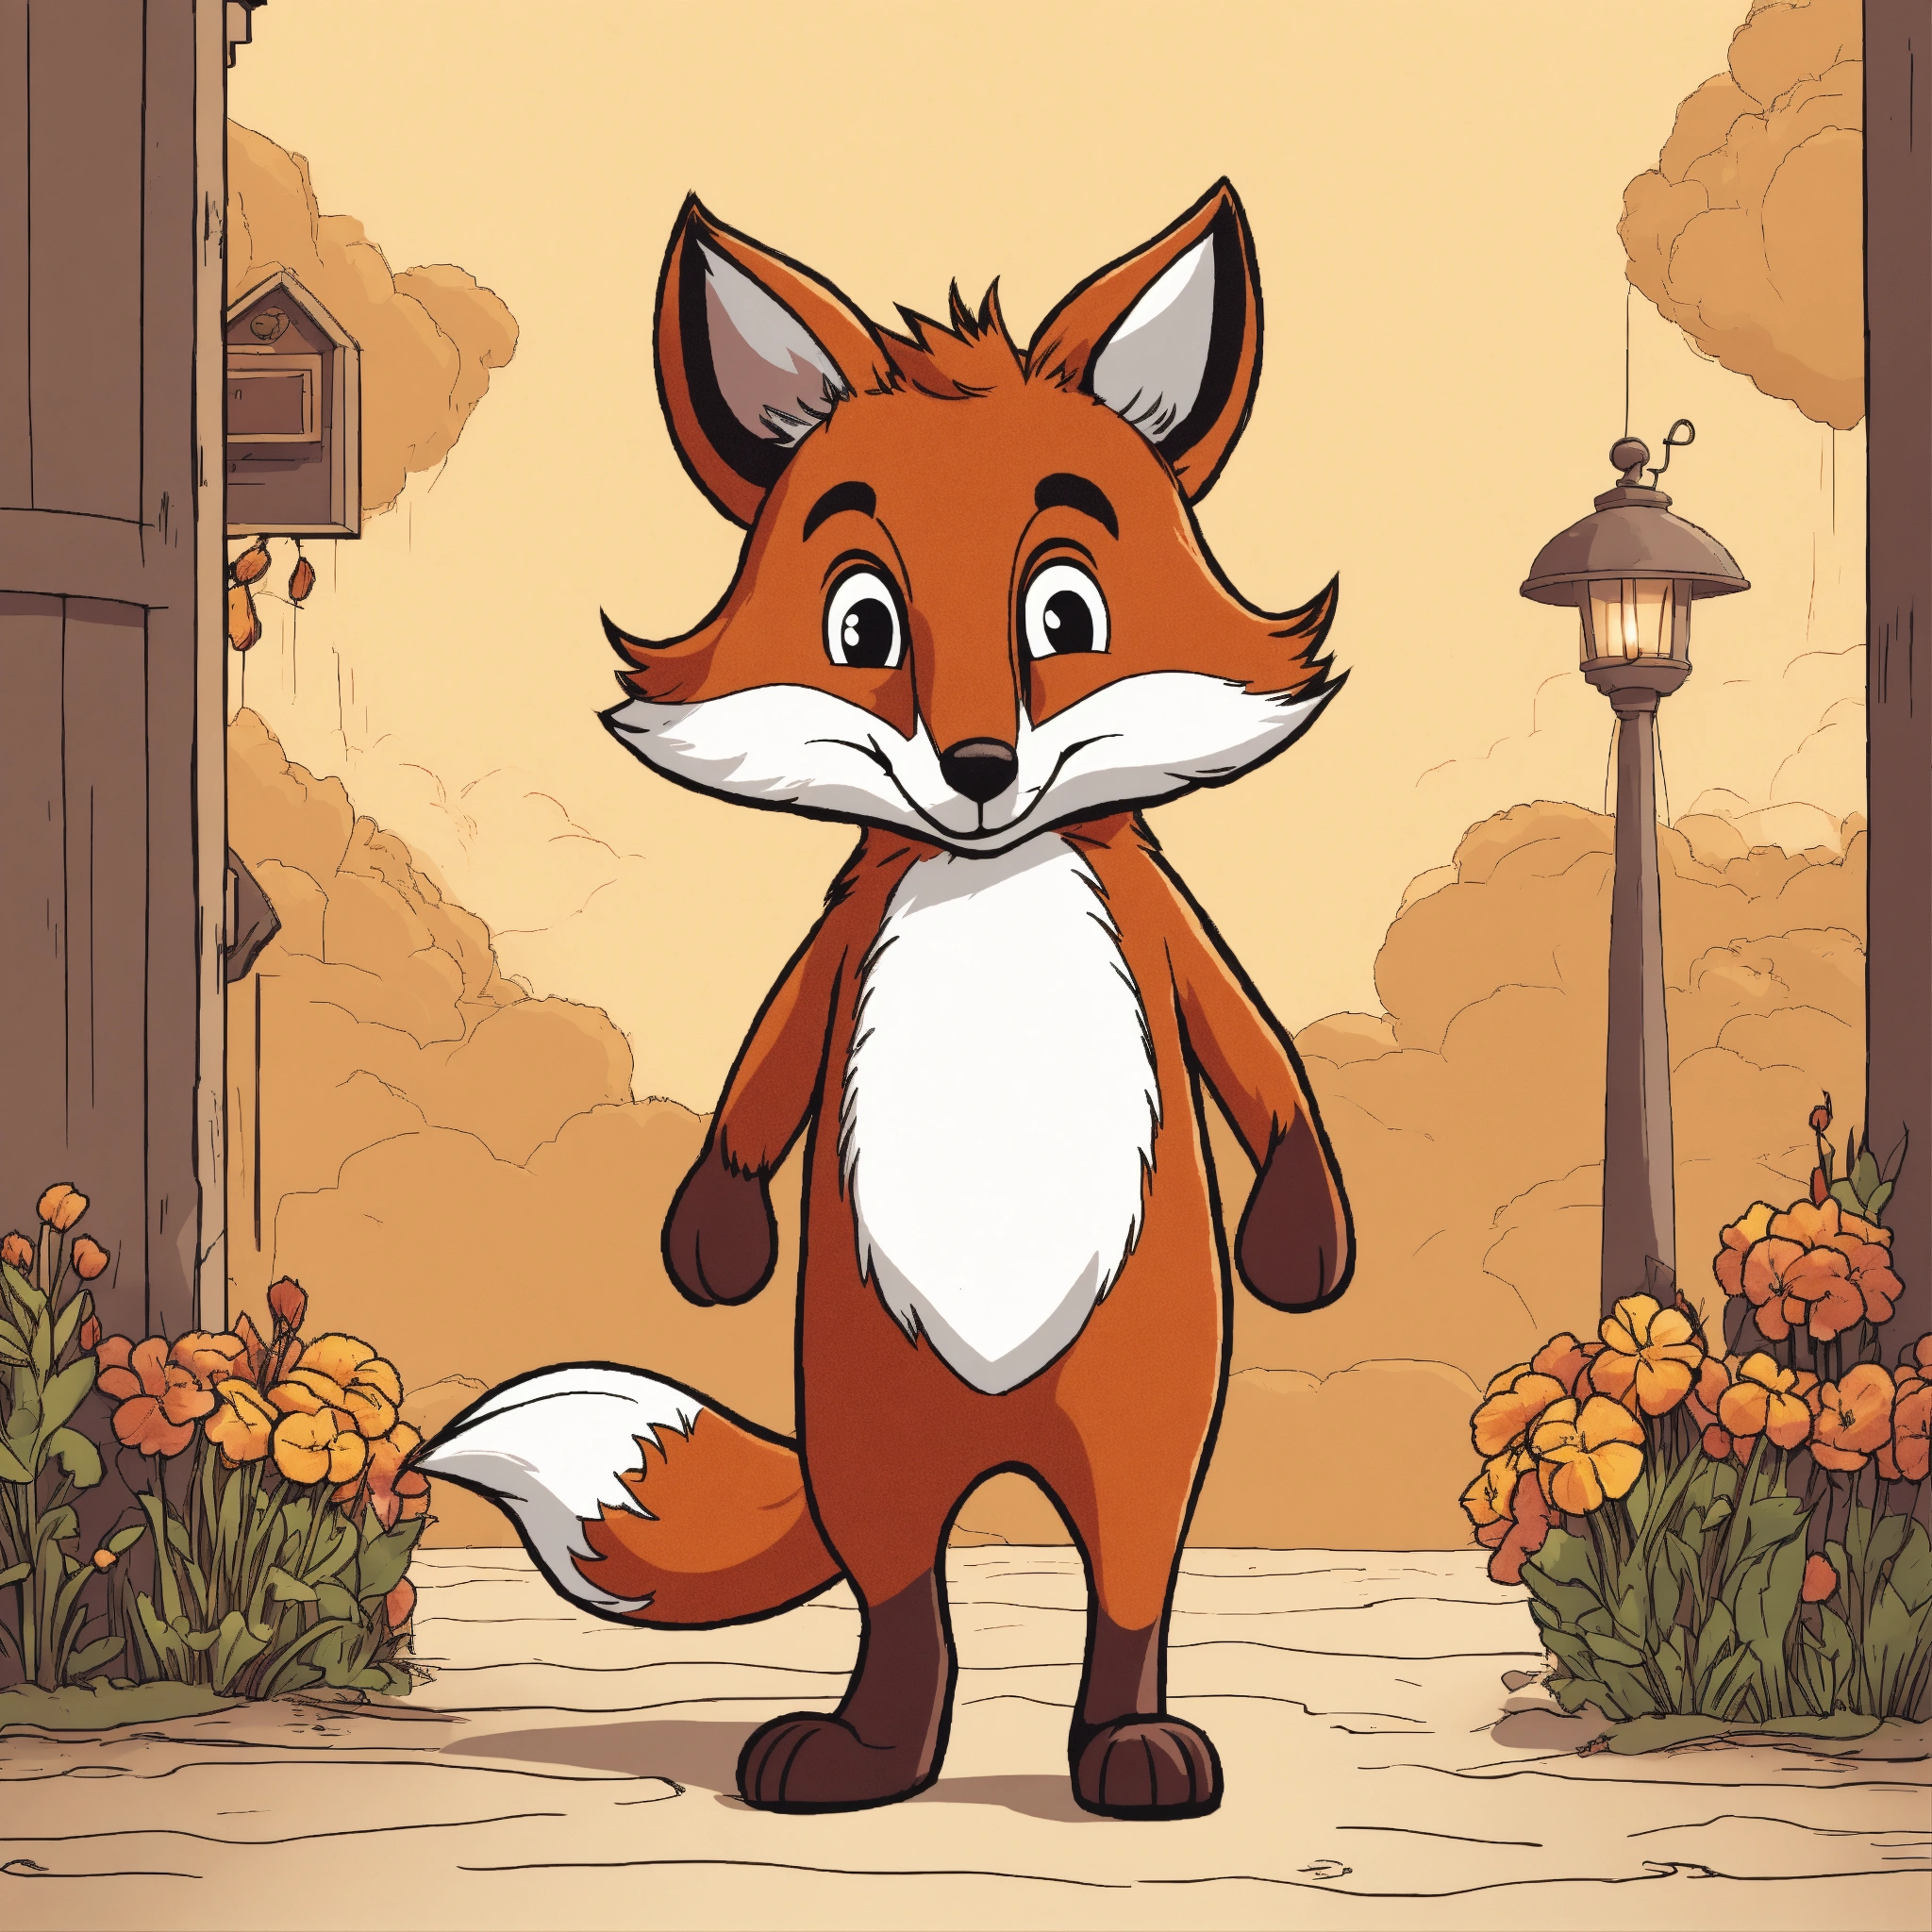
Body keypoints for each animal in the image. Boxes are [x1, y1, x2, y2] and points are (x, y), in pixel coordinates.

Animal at [419, 180, 1354, 1820]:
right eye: (864, 626)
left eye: (1066, 614)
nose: (980, 767)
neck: (988, 882)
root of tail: (999, 1425)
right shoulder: (837, 947)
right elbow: (759, 1087)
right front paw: (712, 1241)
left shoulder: (1172, 942)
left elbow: (1263, 1069)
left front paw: (1303, 1240)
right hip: (873, 1433)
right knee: (902, 1598)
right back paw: (864, 1753)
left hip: (1142, 1420)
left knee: (1128, 1584)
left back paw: (1130, 1750)